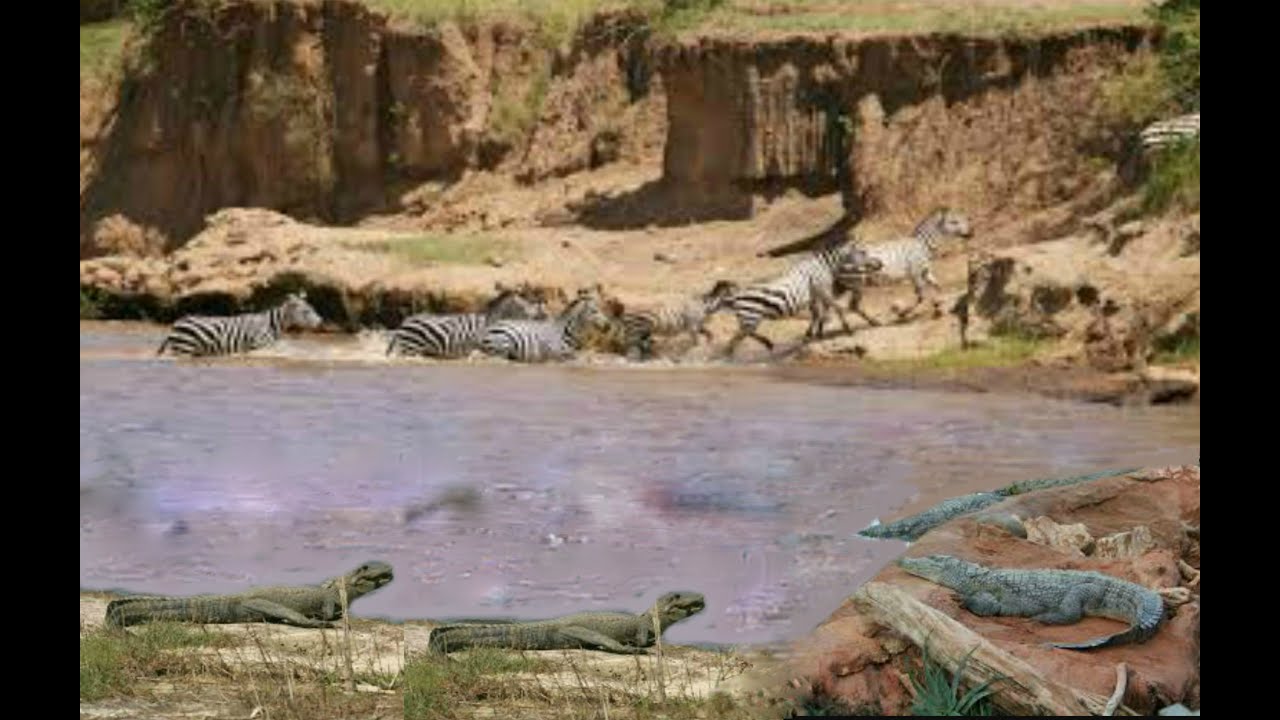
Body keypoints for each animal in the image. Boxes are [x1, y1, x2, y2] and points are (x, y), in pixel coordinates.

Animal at [156, 292, 322, 357]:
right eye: (306, 312)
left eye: (312, 309)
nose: (321, 322)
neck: (269, 325)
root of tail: (177, 323)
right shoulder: (258, 345)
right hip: (185, 349)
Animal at [479, 286, 610, 363]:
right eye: (594, 311)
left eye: (602, 310)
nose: (608, 326)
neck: (564, 331)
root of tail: (491, 326)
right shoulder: (556, 354)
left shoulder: (570, 353)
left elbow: (585, 357)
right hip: (504, 343)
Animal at [723, 243, 883, 356]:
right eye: (862, 252)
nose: (880, 263)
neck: (823, 268)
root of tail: (735, 296)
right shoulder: (823, 291)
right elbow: (836, 309)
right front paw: (848, 329)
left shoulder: (815, 296)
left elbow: (818, 314)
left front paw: (813, 335)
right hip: (751, 316)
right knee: (740, 336)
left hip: (749, 317)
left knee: (742, 334)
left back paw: (762, 346)